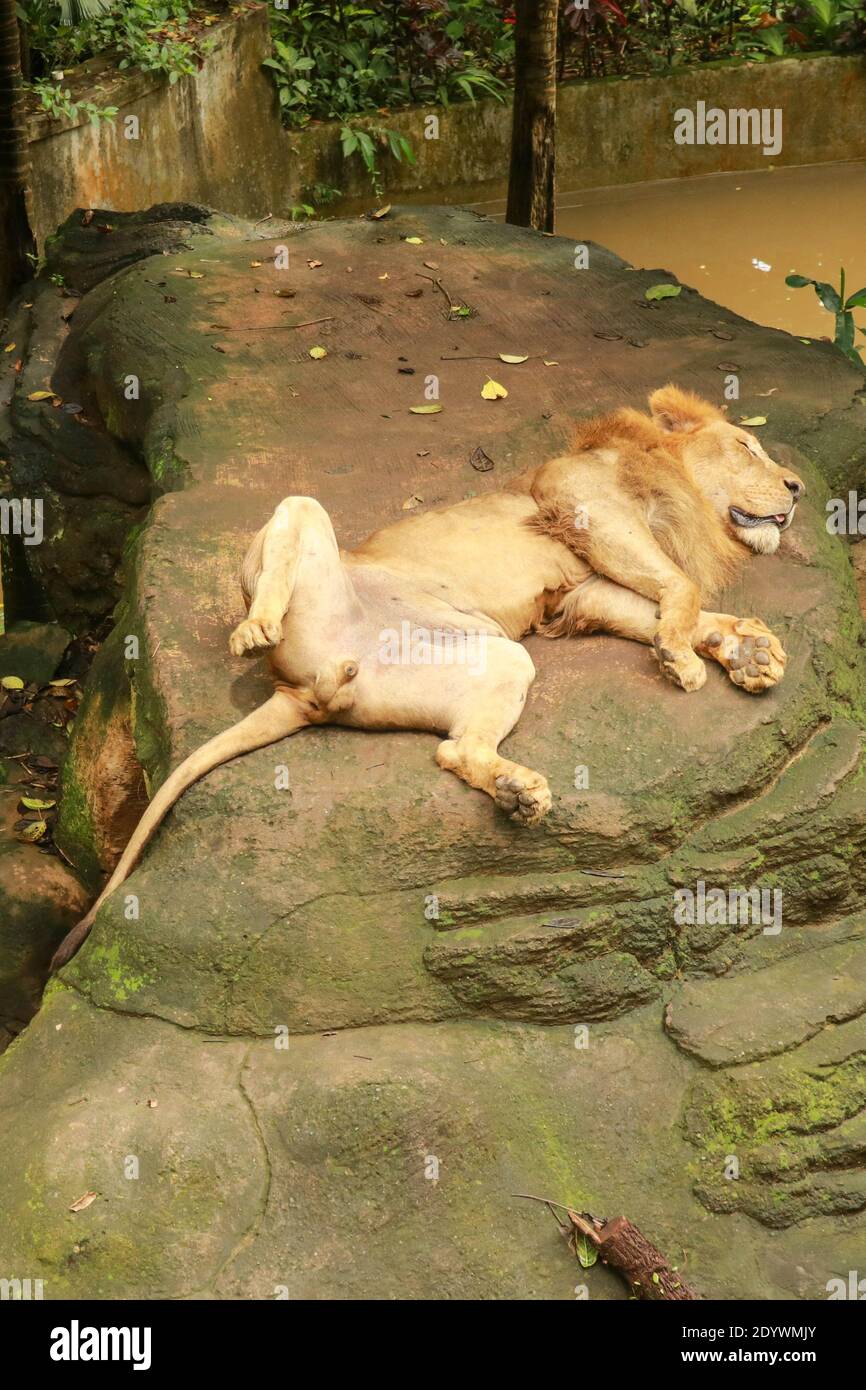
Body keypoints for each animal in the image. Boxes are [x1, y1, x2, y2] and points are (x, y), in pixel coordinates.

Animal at [51, 385, 804, 968]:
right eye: (748, 446)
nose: (798, 488)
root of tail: (299, 692)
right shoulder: (590, 510)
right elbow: (679, 587)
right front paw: (688, 656)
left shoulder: (586, 591)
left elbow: (677, 607)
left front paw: (746, 652)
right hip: (304, 527)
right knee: (294, 524)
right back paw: (251, 630)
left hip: (496, 661)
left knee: (456, 749)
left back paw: (518, 792)